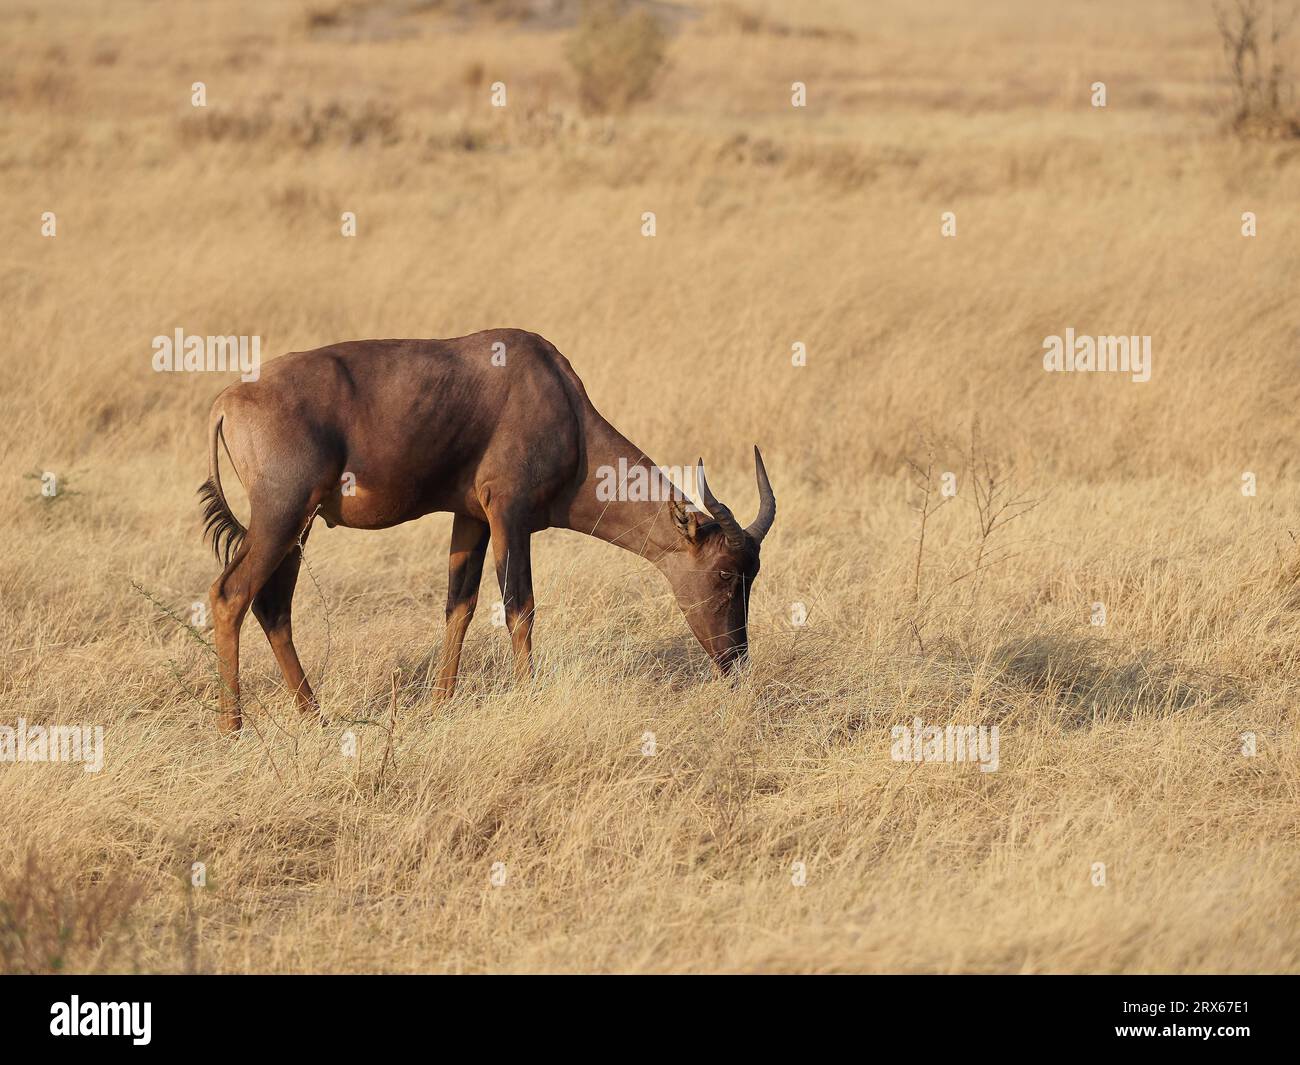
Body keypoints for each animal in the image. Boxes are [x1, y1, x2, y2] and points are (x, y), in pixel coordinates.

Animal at [200, 329, 776, 734]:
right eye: (726, 573)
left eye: (753, 575)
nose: (736, 663)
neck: (556, 396)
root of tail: (225, 402)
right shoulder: (509, 513)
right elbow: (520, 605)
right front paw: (527, 698)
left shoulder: (471, 518)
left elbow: (460, 604)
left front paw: (440, 706)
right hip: (282, 515)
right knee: (231, 594)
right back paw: (233, 730)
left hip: (297, 525)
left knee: (273, 605)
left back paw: (315, 719)